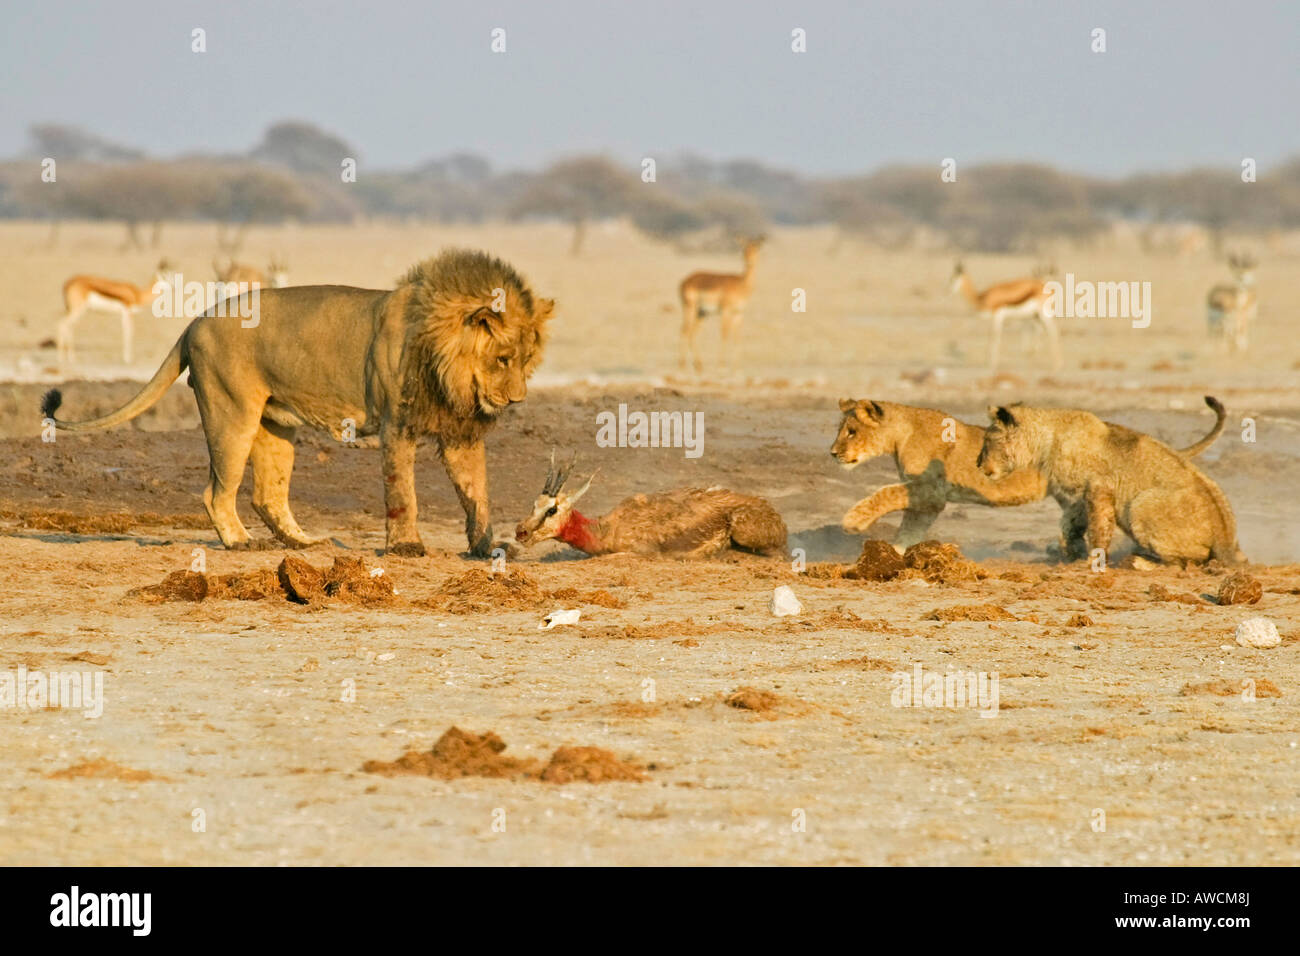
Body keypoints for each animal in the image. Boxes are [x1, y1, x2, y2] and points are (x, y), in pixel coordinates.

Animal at [41, 249, 554, 557]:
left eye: (528, 361)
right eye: (503, 358)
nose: (518, 397)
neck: (449, 370)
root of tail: (193, 322)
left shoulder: (460, 433)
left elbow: (477, 493)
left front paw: (487, 548)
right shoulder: (397, 425)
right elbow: (402, 494)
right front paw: (407, 547)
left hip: (274, 425)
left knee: (267, 494)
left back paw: (303, 542)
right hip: (231, 414)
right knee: (216, 492)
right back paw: (241, 543)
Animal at [831, 397, 1226, 552]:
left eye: (851, 431)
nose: (833, 453)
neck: (901, 433)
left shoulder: (930, 491)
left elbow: (887, 494)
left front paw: (853, 521)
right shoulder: (928, 503)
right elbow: (910, 529)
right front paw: (896, 553)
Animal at [976, 401, 1244, 565]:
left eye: (988, 440)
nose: (978, 465)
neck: (1047, 441)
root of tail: (1224, 537)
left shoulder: (1099, 487)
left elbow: (1098, 528)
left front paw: (1091, 561)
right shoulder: (1075, 498)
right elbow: (1069, 527)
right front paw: (1068, 554)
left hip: (1141, 504)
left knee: (1189, 560)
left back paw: (1139, 562)